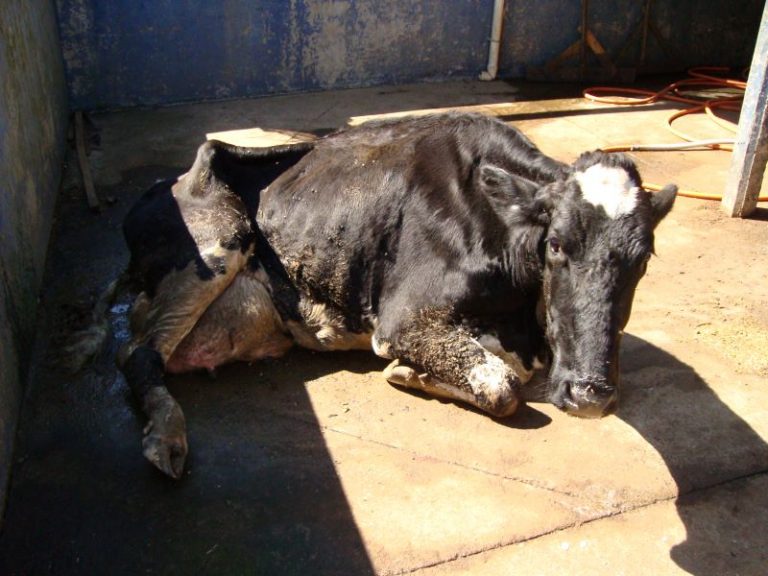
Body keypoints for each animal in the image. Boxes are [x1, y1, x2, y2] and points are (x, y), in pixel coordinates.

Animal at [89, 112, 676, 479]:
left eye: (644, 258)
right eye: (555, 244)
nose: (591, 394)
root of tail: (168, 182)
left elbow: (502, 369)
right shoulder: (405, 319)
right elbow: (502, 385)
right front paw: (408, 373)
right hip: (213, 242)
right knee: (137, 354)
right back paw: (167, 437)